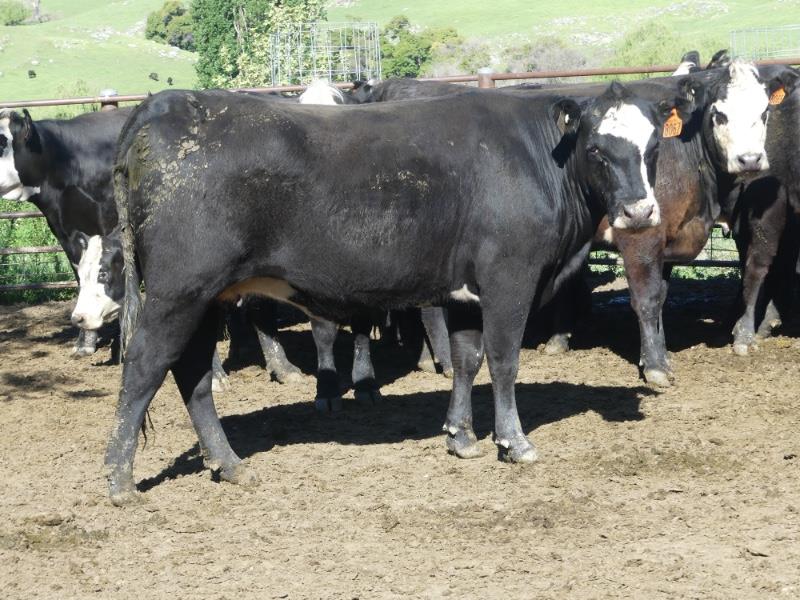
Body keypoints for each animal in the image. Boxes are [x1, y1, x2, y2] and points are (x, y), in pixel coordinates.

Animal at [103, 79, 698, 505]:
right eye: (597, 148)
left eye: (652, 146)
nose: (639, 212)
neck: (535, 158)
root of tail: (162, 105)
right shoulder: (510, 278)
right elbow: (504, 360)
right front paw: (513, 441)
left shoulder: (465, 293)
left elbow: (466, 360)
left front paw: (461, 436)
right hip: (178, 293)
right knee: (144, 367)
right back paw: (119, 481)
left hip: (210, 297)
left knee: (193, 375)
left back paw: (227, 464)